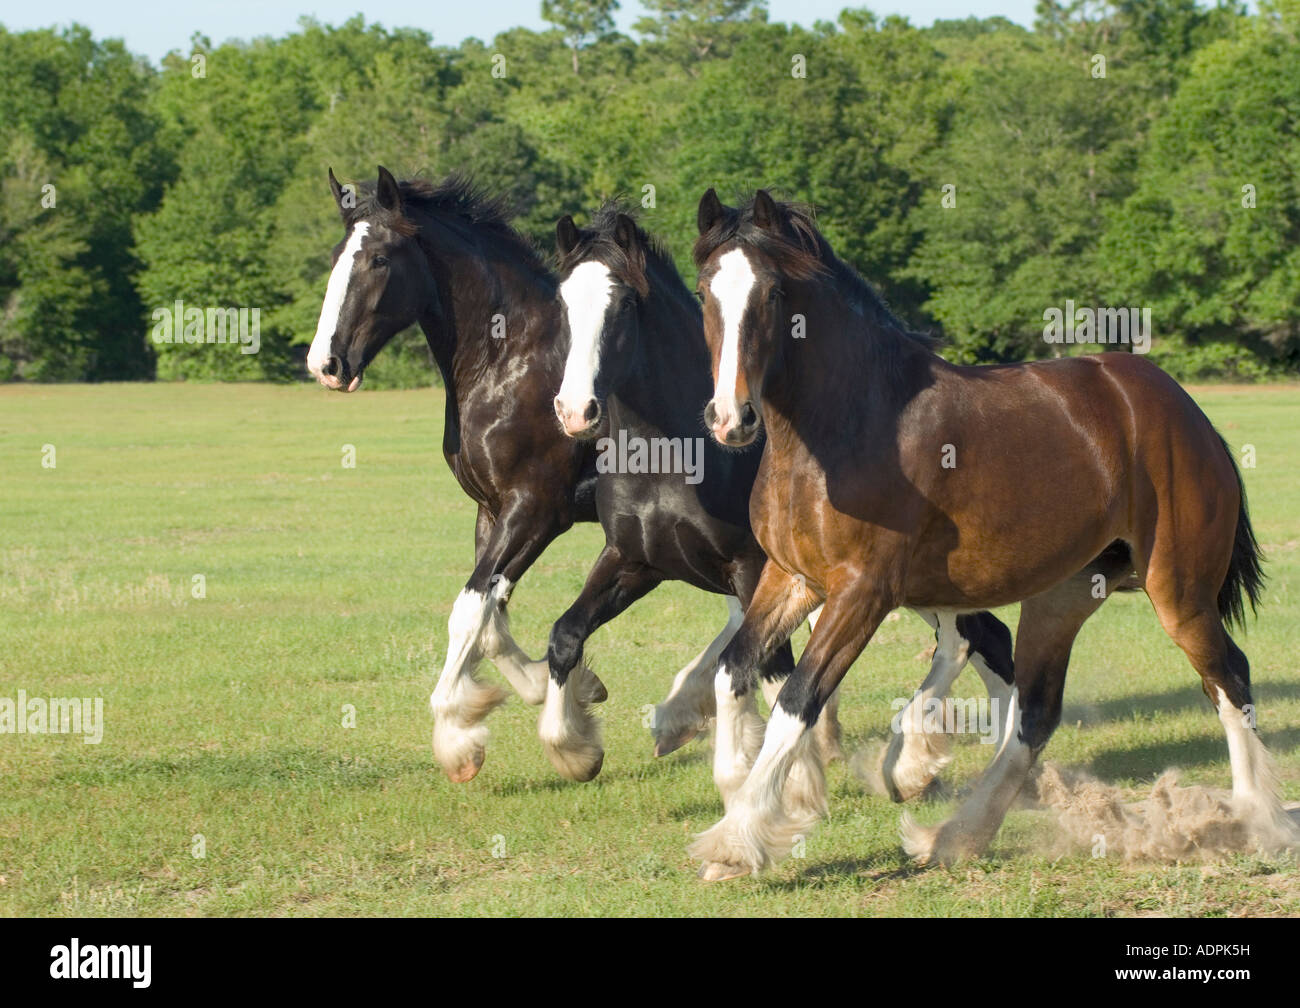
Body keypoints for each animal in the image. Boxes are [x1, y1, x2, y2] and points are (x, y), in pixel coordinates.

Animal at [549, 201, 1016, 803]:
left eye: (624, 304)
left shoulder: (756, 569)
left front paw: (792, 779)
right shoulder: (634, 560)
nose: (575, 411)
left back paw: (923, 762)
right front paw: (574, 751)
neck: (675, 455)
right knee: (988, 639)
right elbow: (566, 634)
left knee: (973, 638)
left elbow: (774, 673)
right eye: (563, 301)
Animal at [684, 187, 1296, 880]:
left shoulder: (861, 592)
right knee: (1037, 713)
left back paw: (1261, 822)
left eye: (773, 294)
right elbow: (732, 669)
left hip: (1179, 592)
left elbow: (797, 699)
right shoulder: (793, 579)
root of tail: (1185, 411)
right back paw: (954, 837)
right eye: (704, 290)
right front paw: (743, 794)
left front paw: (738, 839)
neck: (847, 427)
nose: (731, 419)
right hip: (1062, 597)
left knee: (1229, 678)